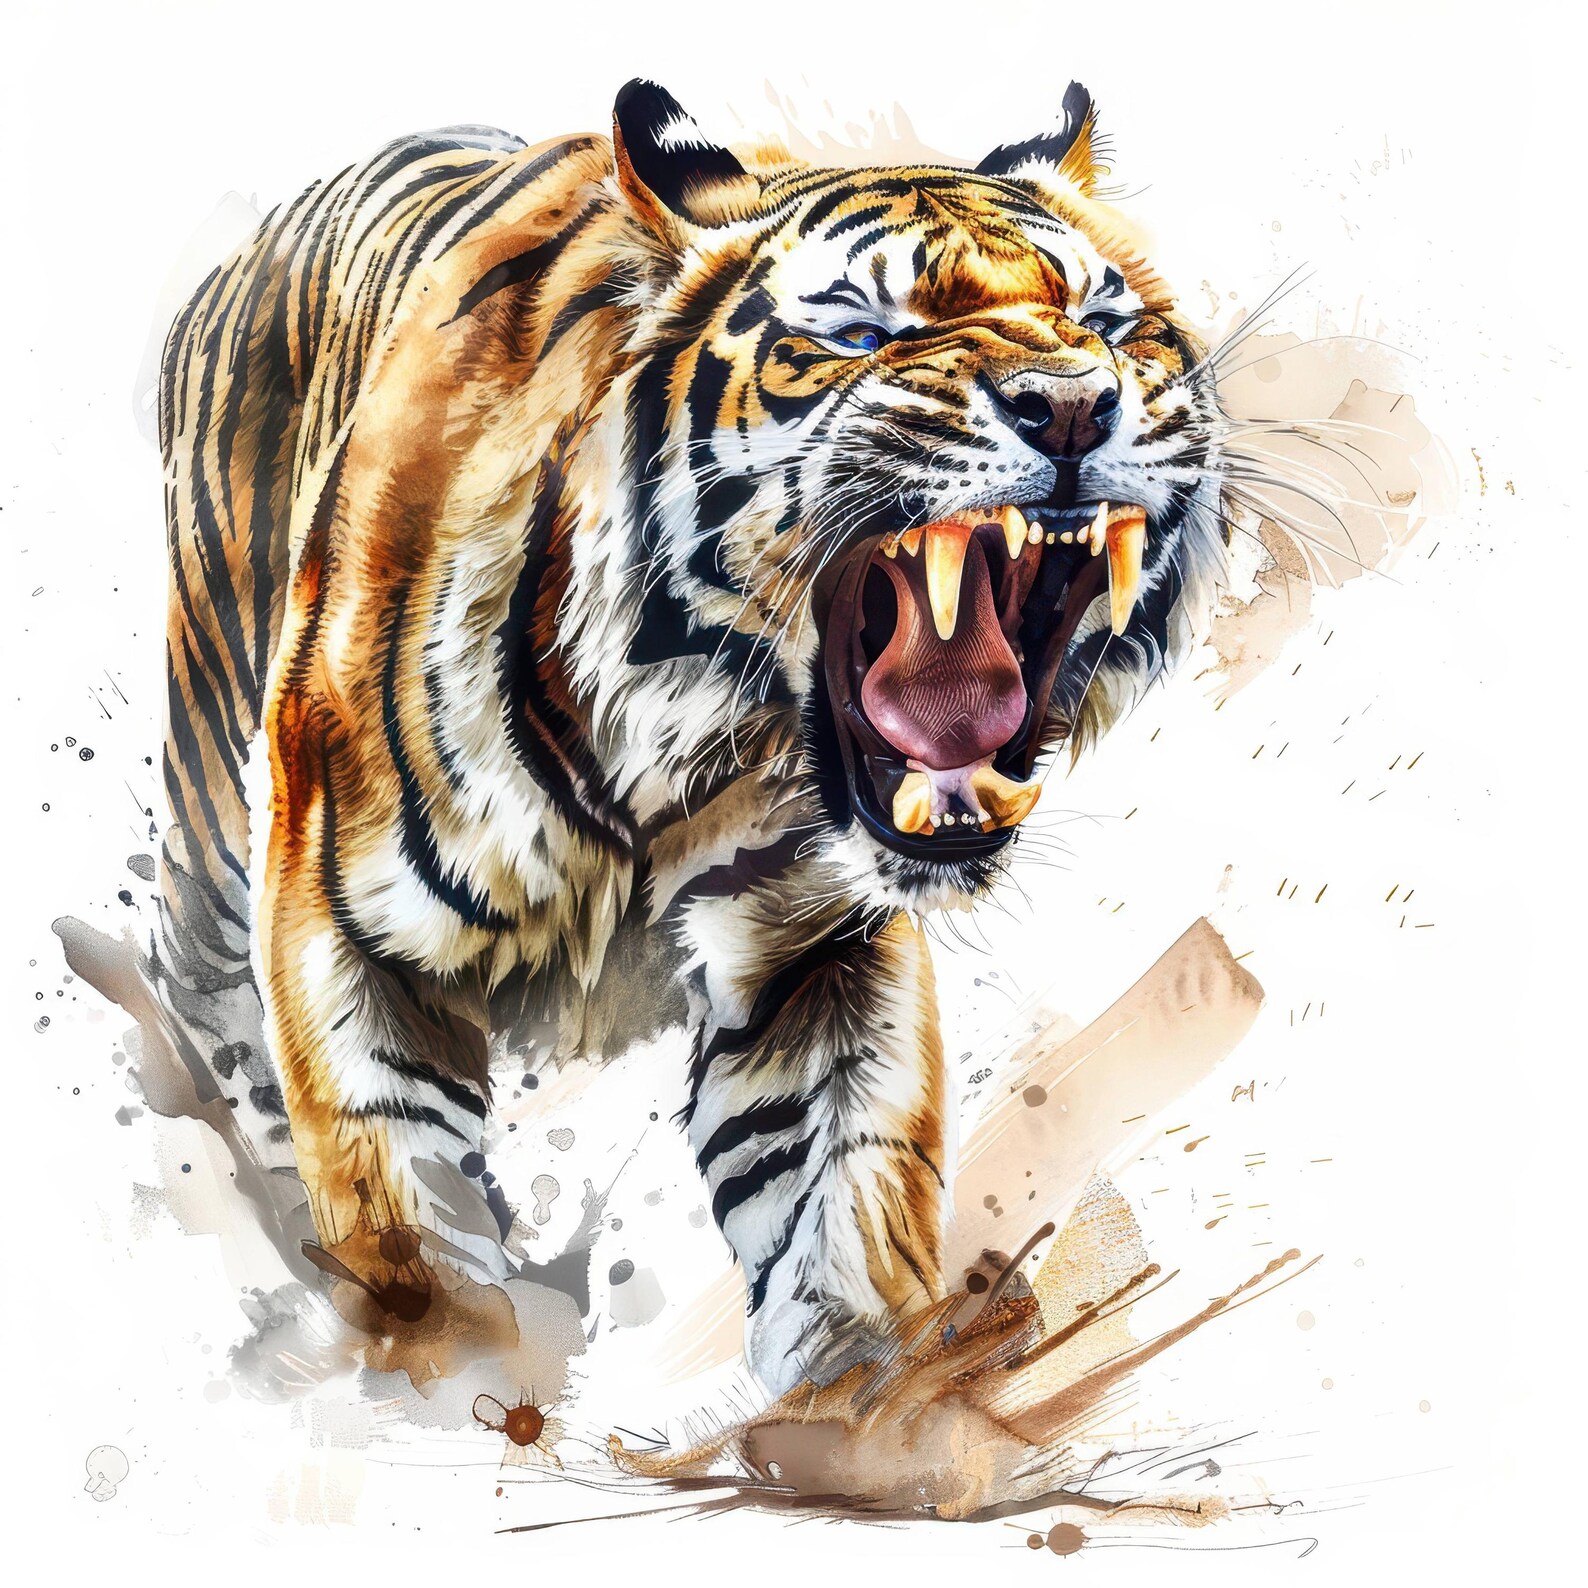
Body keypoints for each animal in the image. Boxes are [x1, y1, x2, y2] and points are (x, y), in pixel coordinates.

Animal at [156, 79, 1229, 1393]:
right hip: (214, 813)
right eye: (860, 332)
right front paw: (447, 1380)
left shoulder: (816, 961)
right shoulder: (351, 941)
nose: (1072, 402)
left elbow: (842, 1219)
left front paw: (868, 1411)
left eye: (1103, 320)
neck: (678, 743)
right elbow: (409, 1226)